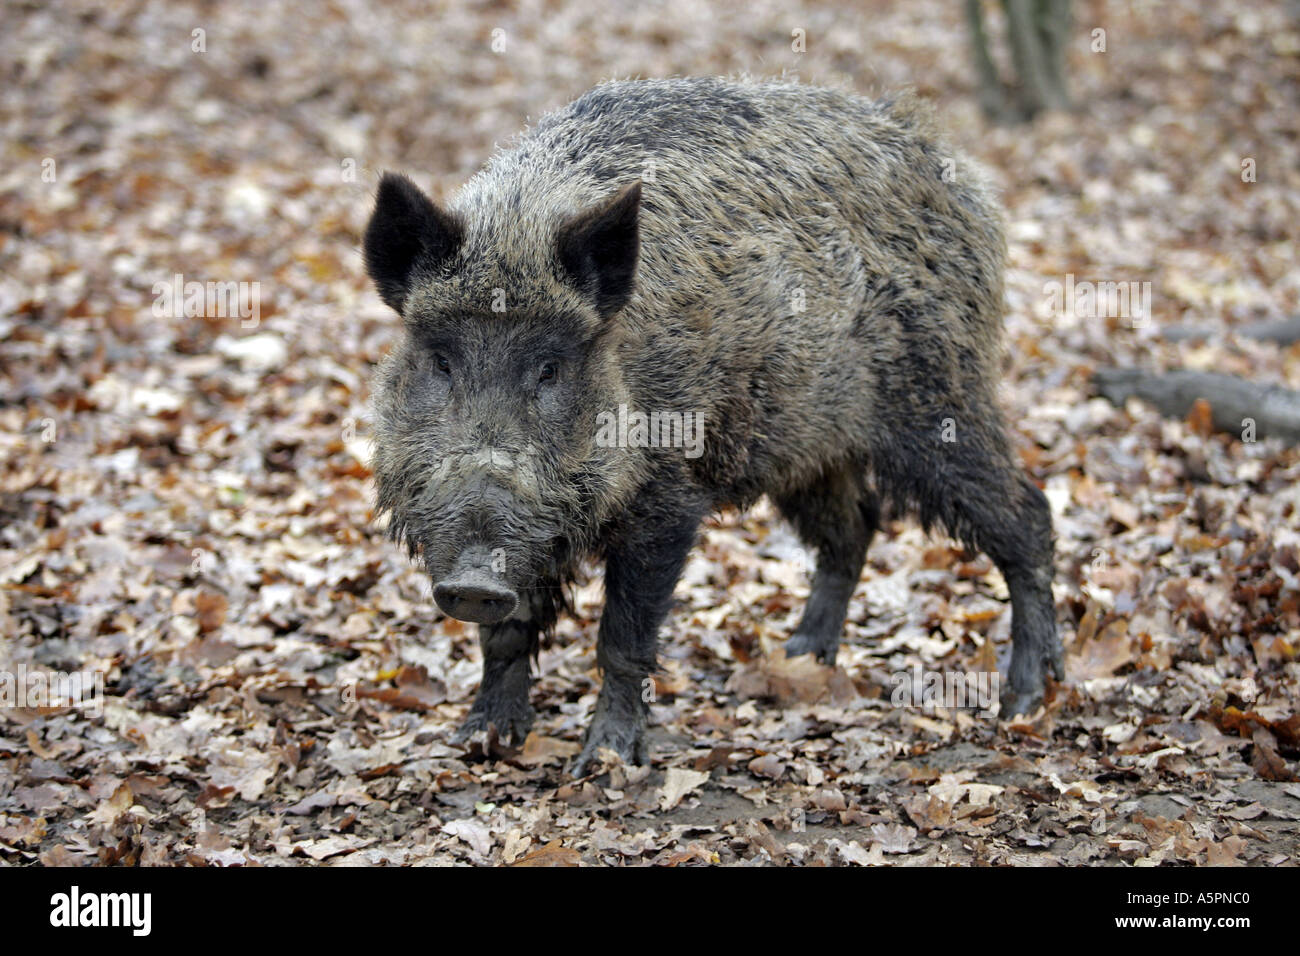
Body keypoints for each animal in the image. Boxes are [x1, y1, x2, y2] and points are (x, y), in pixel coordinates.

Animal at [363, 77, 1063, 774]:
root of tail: (964, 178)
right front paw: (479, 742)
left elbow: (622, 640)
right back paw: (799, 658)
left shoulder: (668, 499)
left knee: (1026, 514)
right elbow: (504, 635)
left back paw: (1024, 699)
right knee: (857, 526)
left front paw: (605, 760)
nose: (474, 580)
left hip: (940, 401)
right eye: (441, 360)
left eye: (550, 367)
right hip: (805, 444)